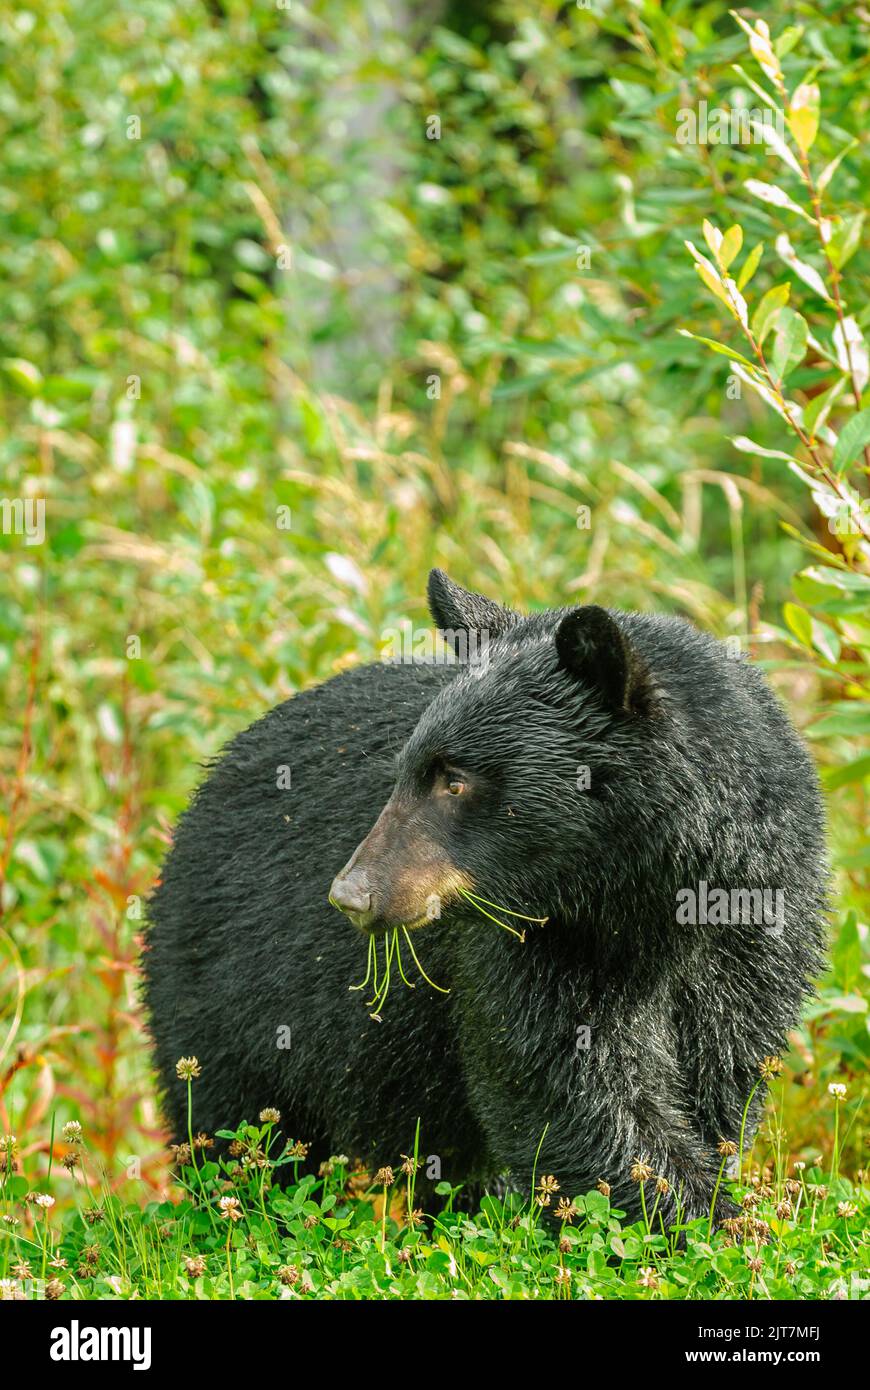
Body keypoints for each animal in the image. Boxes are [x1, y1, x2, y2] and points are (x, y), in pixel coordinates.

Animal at [142, 569, 827, 1226]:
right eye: (404, 774)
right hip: (224, 995)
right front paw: (702, 1221)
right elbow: (570, 1090)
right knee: (237, 1129)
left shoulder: (755, 925)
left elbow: (722, 1076)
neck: (644, 893)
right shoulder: (533, 943)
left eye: (455, 780)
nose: (351, 896)